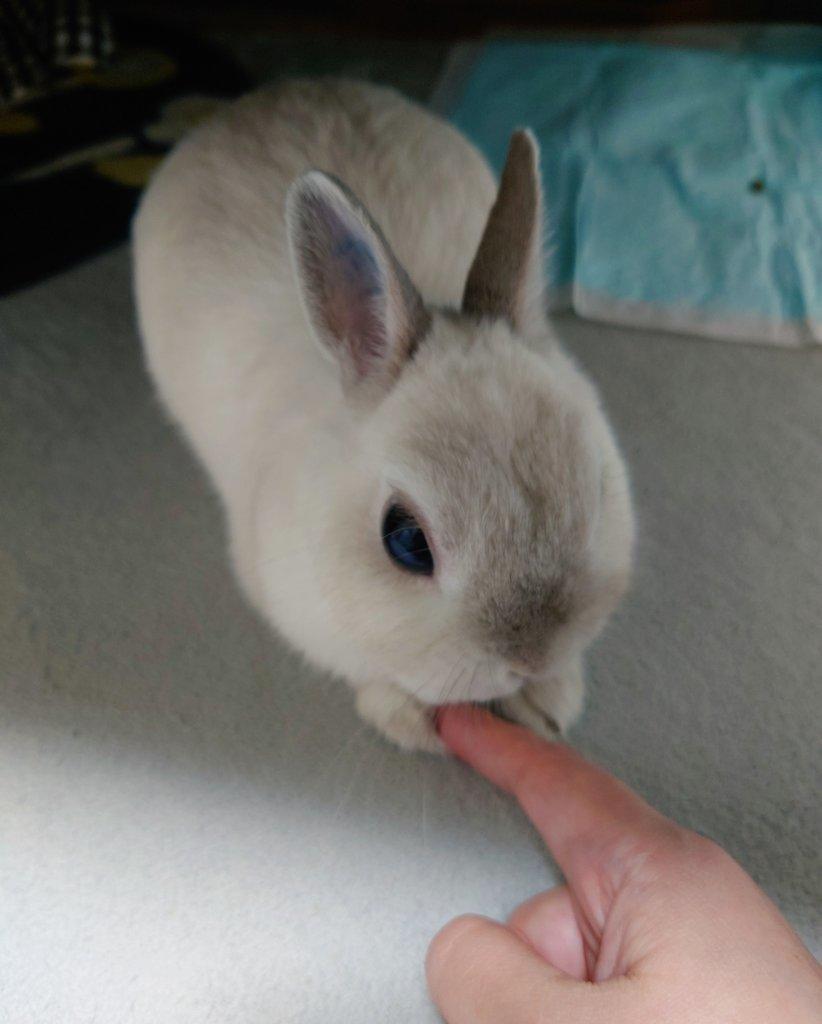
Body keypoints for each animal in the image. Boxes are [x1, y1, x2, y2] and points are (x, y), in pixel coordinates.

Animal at [133, 78, 635, 753]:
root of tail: (253, 100)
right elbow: (370, 673)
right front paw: (413, 722)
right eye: (406, 543)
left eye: (598, 493)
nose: (529, 656)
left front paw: (550, 701)